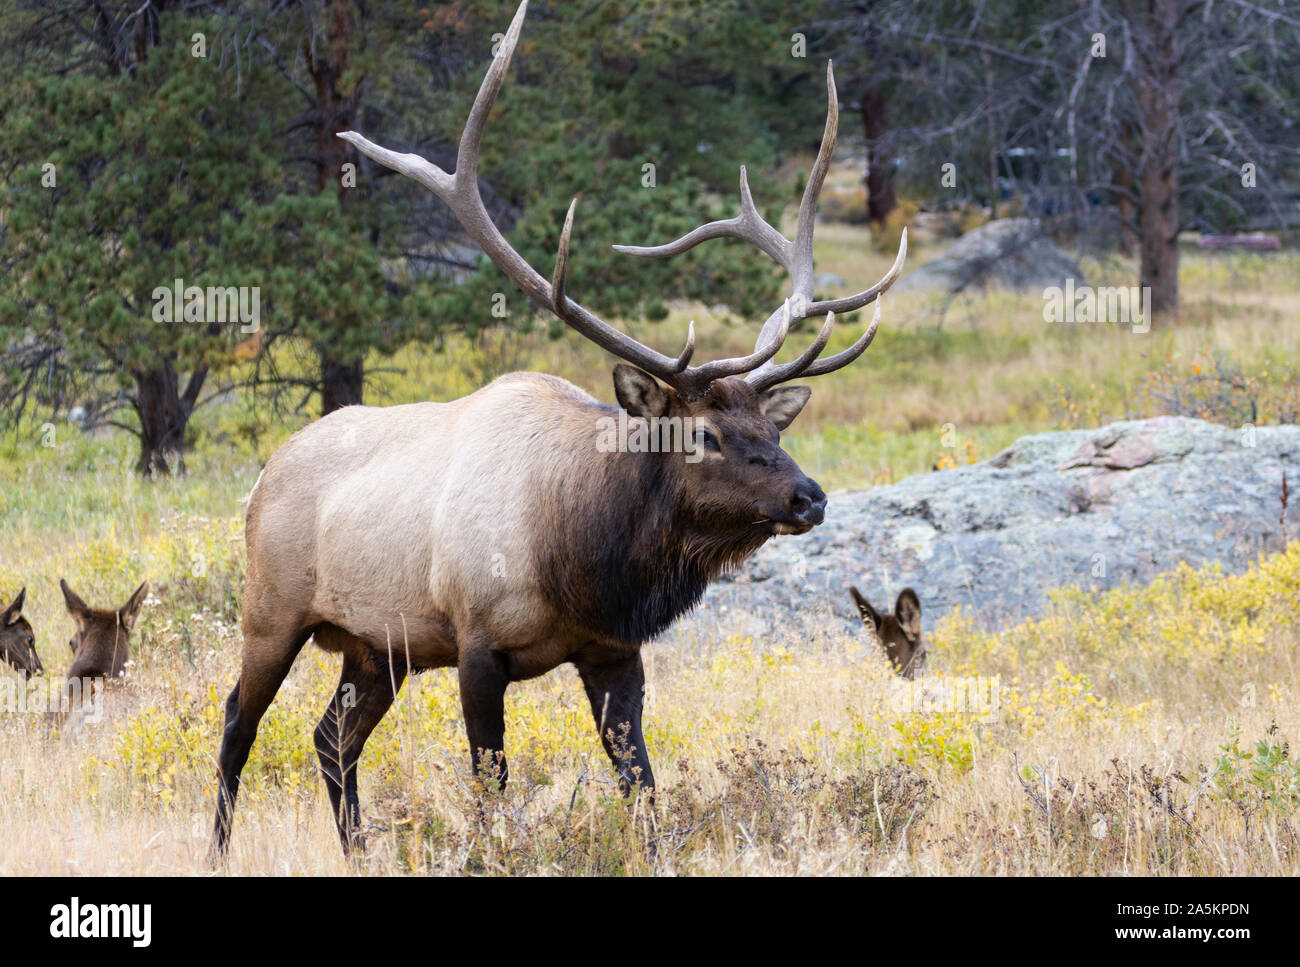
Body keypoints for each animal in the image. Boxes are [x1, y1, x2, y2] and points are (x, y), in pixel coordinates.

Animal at [210, 0, 906, 859]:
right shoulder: (475, 643)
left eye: (765, 427)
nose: (809, 496)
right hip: (272, 609)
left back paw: (358, 850)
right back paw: (218, 848)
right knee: (237, 724)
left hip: (376, 647)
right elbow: (491, 785)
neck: (581, 557)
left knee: (330, 739)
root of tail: (262, 476)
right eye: (706, 435)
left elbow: (642, 785)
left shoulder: (612, 652)